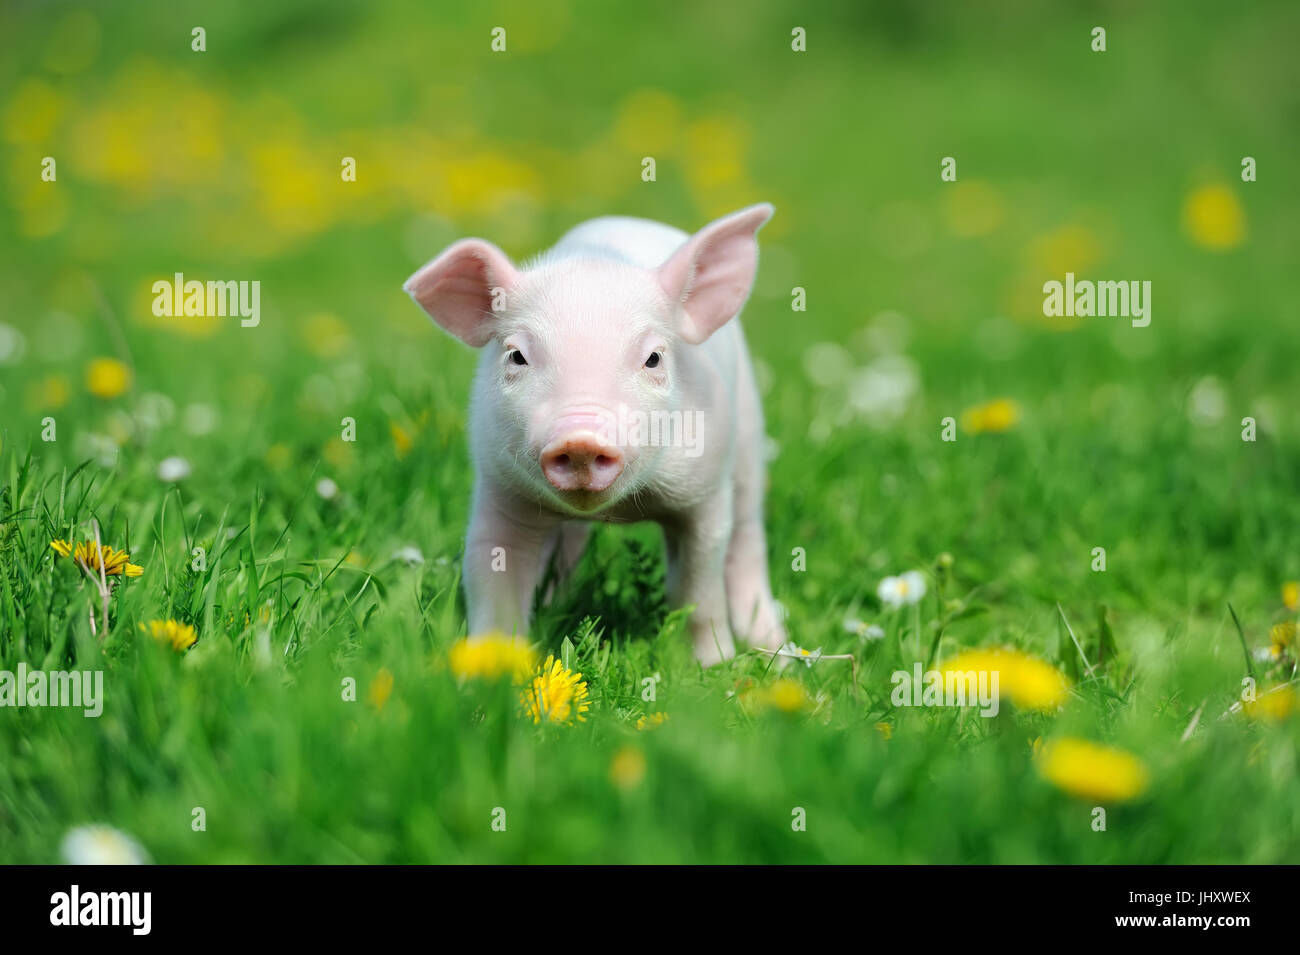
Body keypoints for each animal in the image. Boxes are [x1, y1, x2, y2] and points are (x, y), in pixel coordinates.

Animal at [404, 204, 785, 665]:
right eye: (517, 356)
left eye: (653, 358)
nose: (580, 439)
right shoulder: (499, 488)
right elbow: (492, 577)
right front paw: (492, 667)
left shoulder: (704, 491)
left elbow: (698, 586)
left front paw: (712, 666)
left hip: (747, 434)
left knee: (747, 537)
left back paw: (775, 647)